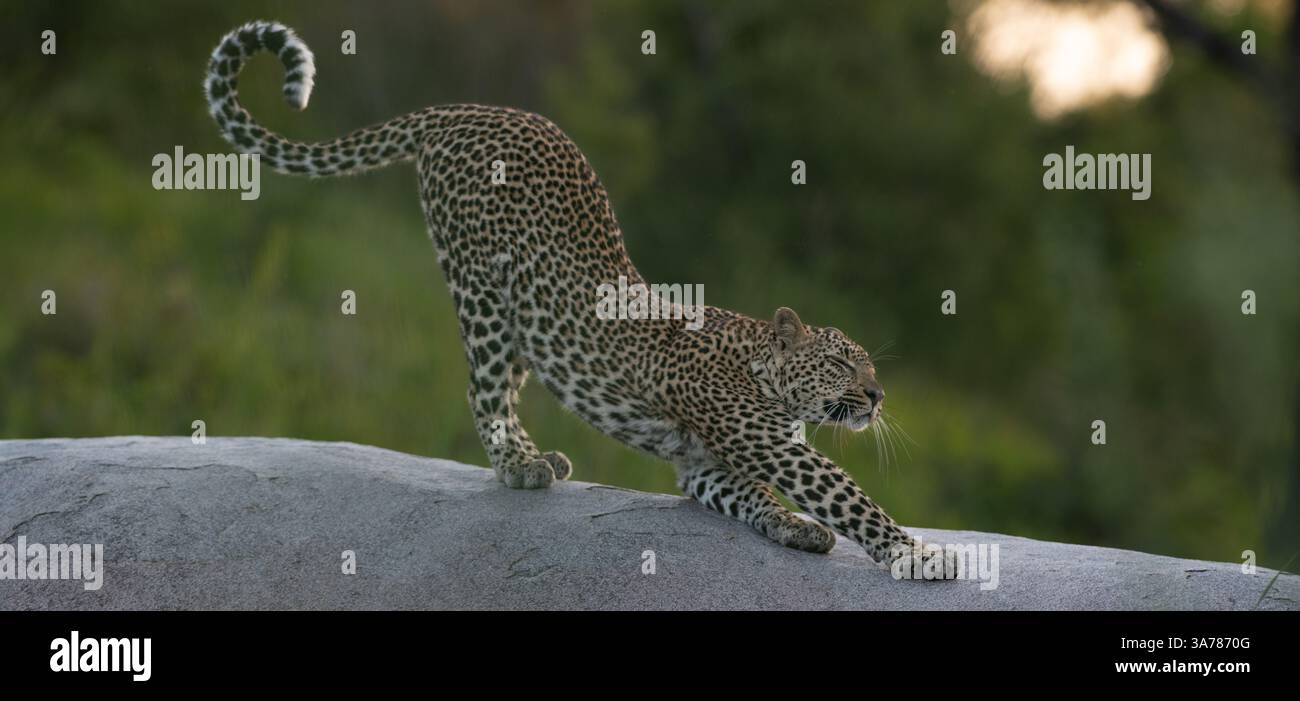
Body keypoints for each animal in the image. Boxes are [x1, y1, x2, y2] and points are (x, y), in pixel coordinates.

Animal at [204, 20, 955, 578]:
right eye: (842, 364)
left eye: (871, 366)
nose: (878, 395)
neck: (766, 375)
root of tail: (469, 107)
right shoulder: (771, 447)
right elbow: (851, 498)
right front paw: (919, 554)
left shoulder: (706, 465)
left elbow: (753, 498)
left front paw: (795, 527)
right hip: (483, 290)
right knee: (483, 390)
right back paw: (520, 467)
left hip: (520, 314)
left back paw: (537, 457)